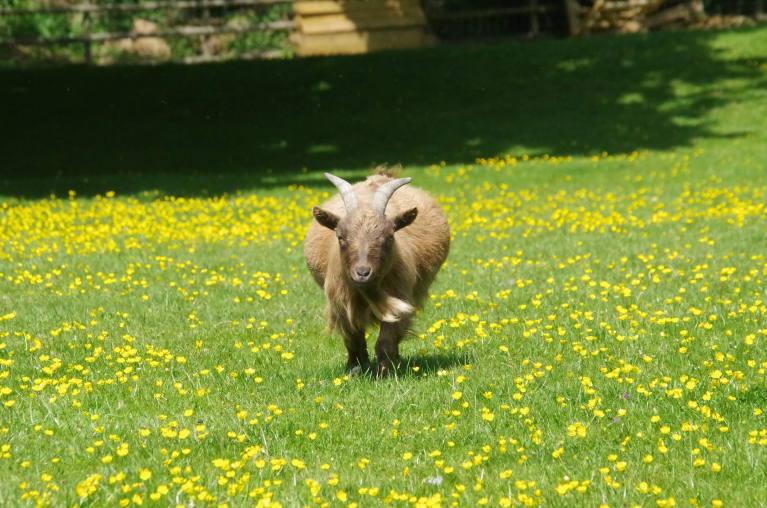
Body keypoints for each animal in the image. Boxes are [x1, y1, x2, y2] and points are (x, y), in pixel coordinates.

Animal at [305, 166, 450, 377]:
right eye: (340, 238)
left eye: (389, 237)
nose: (363, 273)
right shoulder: (341, 303)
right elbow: (352, 339)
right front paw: (353, 368)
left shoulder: (400, 298)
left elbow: (385, 341)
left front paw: (383, 374)